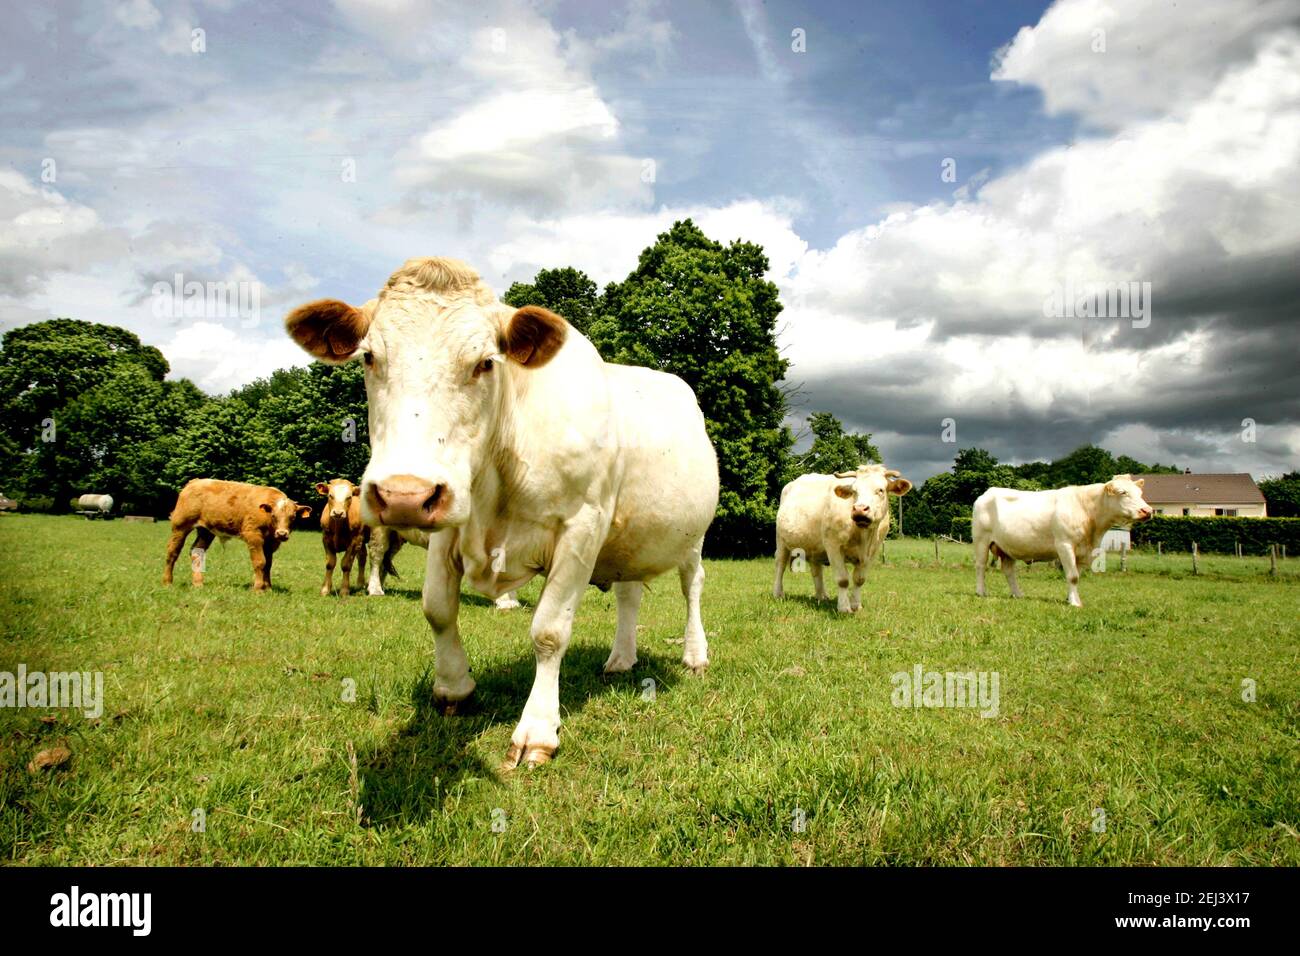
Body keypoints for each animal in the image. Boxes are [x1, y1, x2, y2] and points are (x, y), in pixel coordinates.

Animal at [163, 479, 312, 591]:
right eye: (274, 515)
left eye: (293, 517)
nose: (282, 533)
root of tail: (195, 482)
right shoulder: (253, 535)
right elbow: (260, 562)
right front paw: (258, 588)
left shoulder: (271, 542)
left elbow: (268, 564)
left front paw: (268, 588)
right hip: (180, 526)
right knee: (172, 552)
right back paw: (167, 582)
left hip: (206, 531)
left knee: (197, 551)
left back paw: (198, 583)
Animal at [366, 525, 521, 608]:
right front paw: (505, 601)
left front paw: (511, 600)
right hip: (381, 528)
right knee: (376, 555)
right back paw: (375, 589)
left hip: (396, 535)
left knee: (385, 560)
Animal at [773, 464, 913, 613]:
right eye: (854, 491)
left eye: (880, 490)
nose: (859, 509)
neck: (863, 536)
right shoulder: (833, 545)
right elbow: (843, 580)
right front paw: (844, 608)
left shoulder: (872, 552)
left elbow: (859, 579)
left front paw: (856, 605)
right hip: (781, 541)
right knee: (780, 564)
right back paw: (778, 593)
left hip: (814, 546)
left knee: (816, 570)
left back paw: (821, 596)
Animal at [972, 474, 1153, 607]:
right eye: (1123, 492)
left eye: (1140, 493)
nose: (1148, 510)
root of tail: (988, 492)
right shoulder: (1064, 545)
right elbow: (1072, 576)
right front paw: (1074, 603)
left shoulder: (1082, 551)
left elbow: (1076, 575)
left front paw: (1071, 598)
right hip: (982, 540)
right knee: (981, 566)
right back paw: (981, 592)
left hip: (1008, 547)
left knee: (1009, 571)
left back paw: (1017, 594)